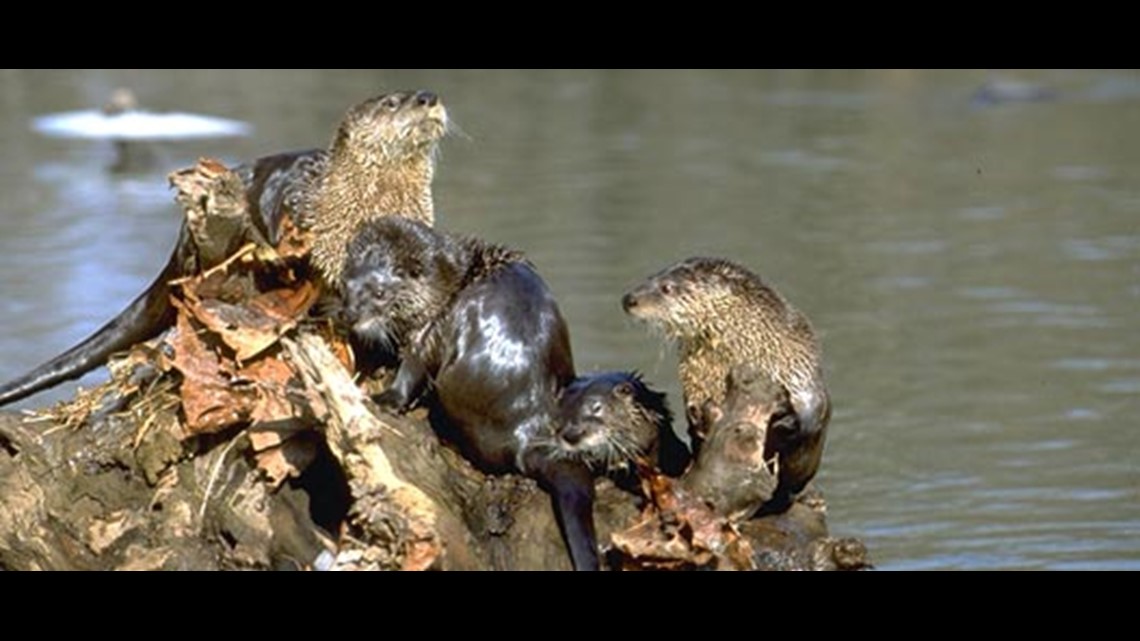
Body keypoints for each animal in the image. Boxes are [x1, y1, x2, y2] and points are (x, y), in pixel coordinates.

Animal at [341, 216, 599, 571]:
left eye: (380, 292)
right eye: (346, 284)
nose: (351, 314)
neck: (445, 286)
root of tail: (529, 426)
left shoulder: (430, 328)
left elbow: (413, 368)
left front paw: (386, 397)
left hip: (455, 392)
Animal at [621, 256, 830, 510]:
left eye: (667, 288)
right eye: (650, 277)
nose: (629, 299)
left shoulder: (801, 374)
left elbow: (808, 419)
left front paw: (783, 422)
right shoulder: (695, 389)